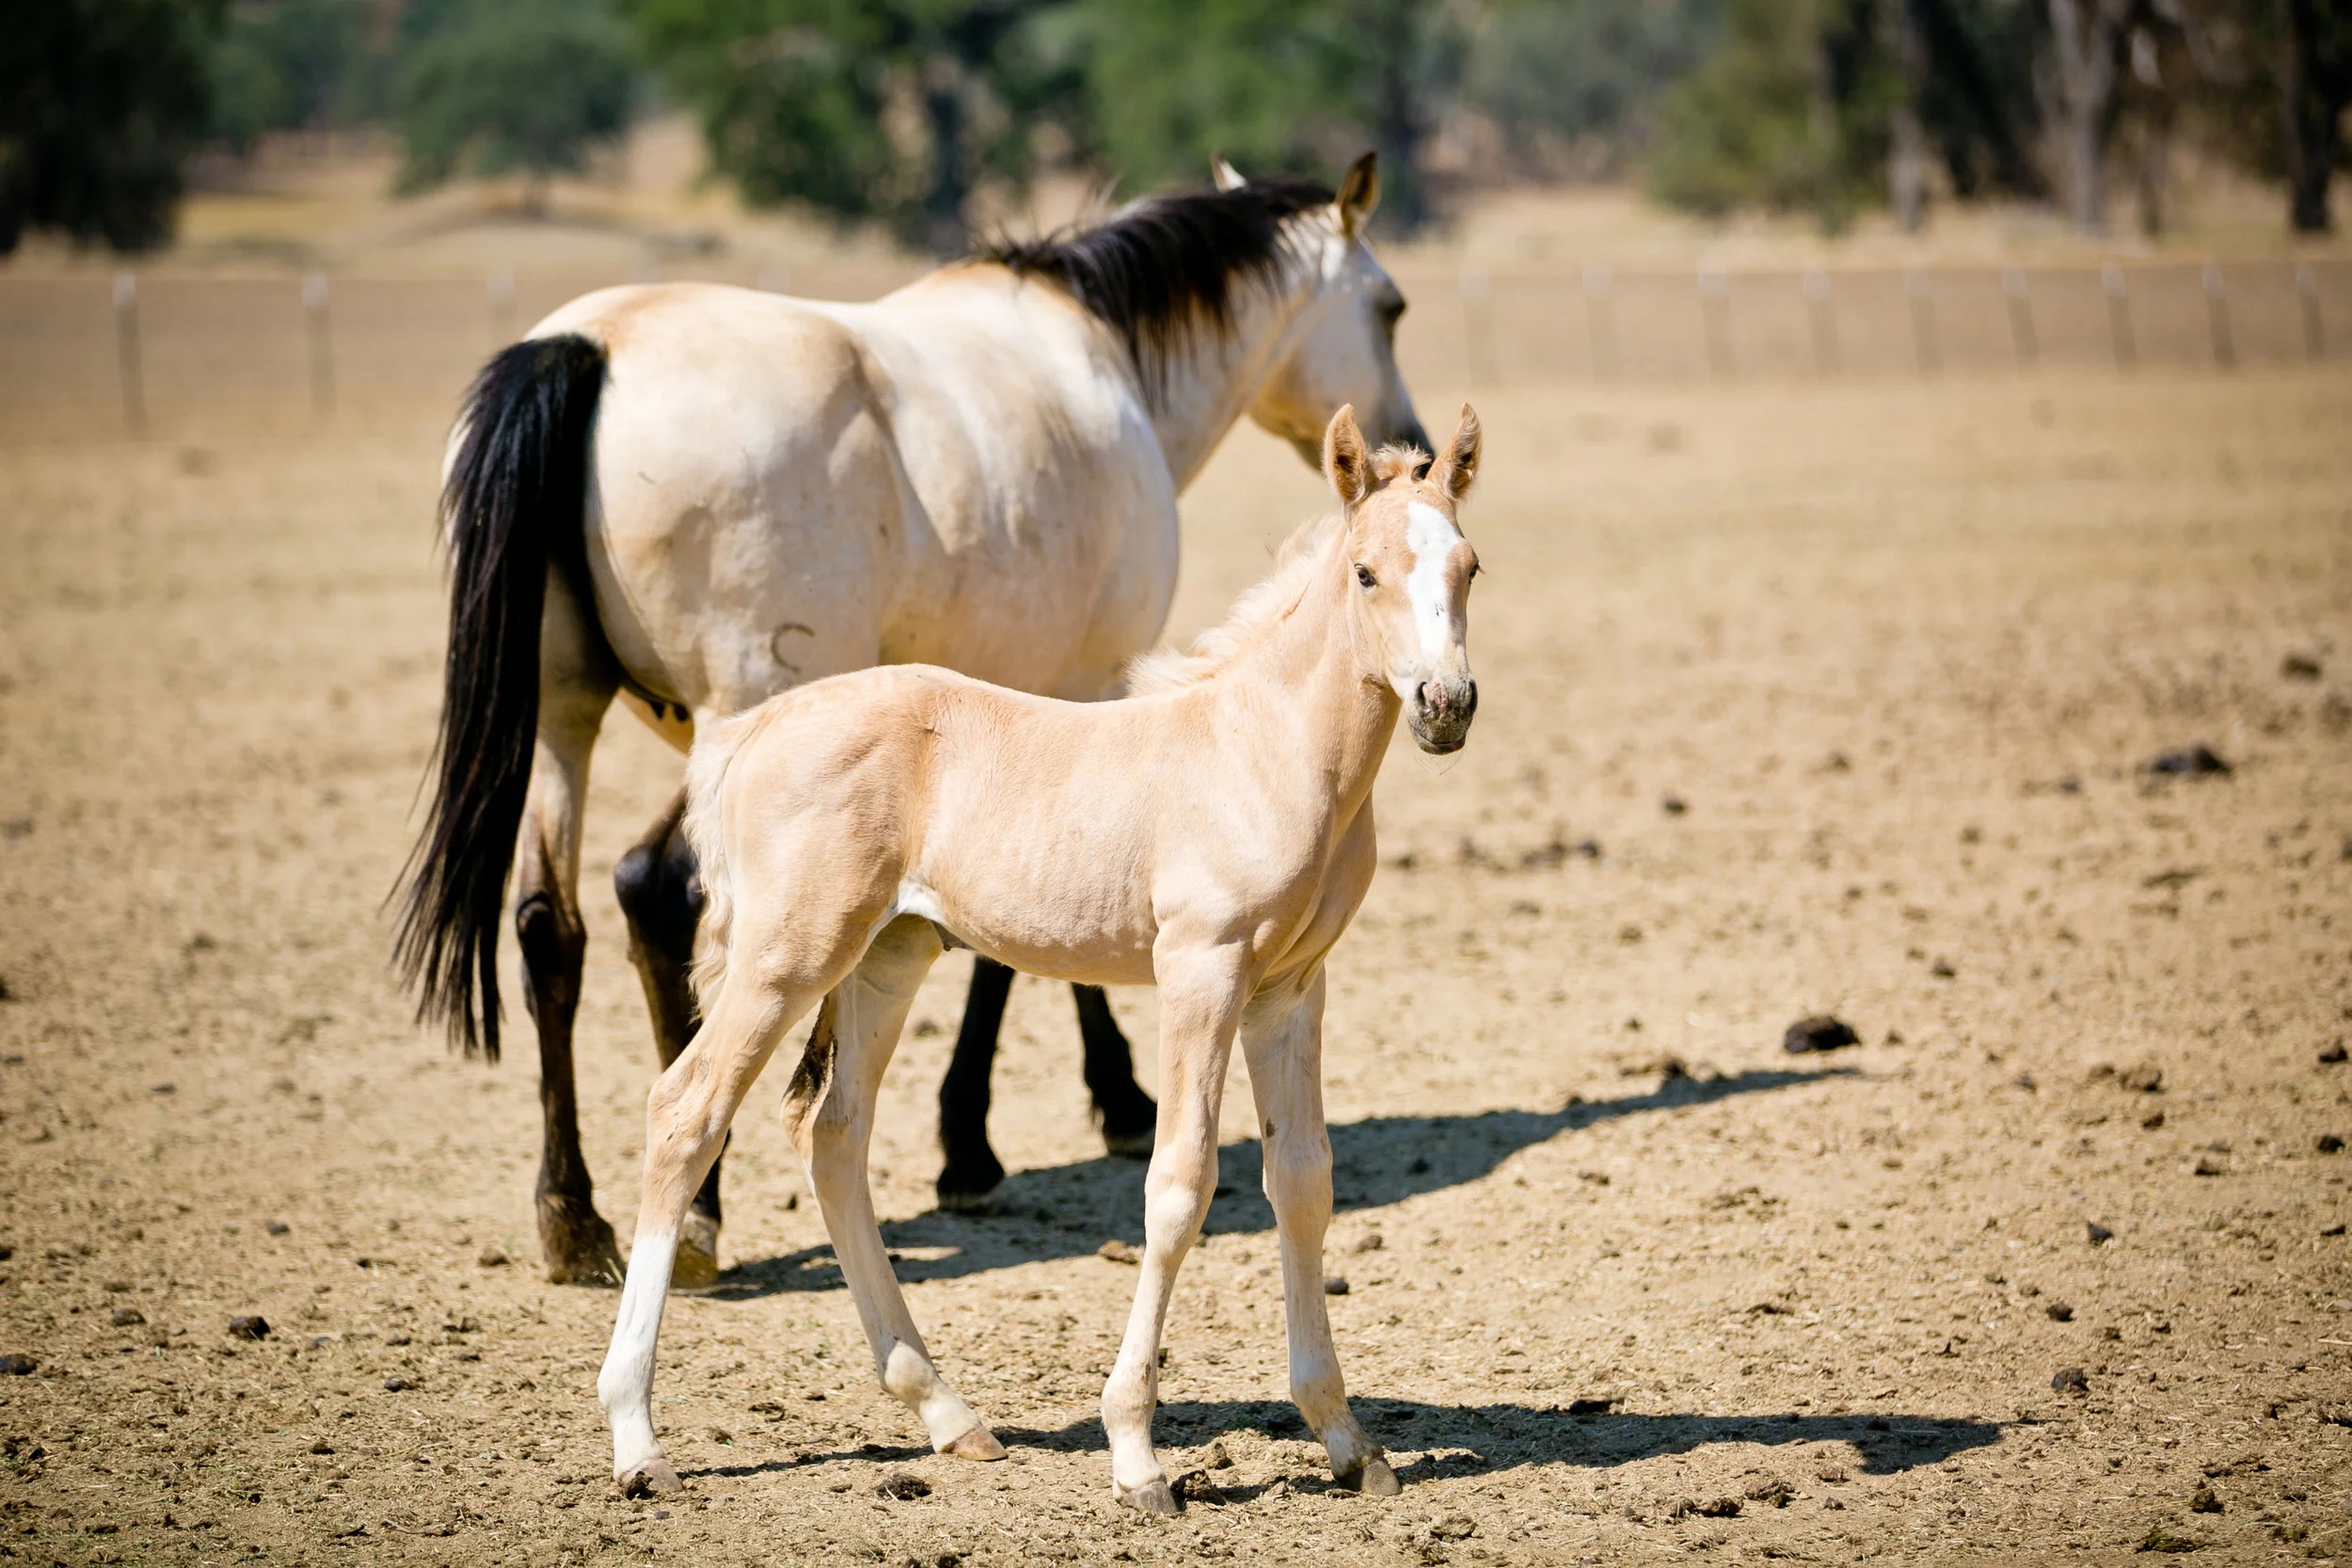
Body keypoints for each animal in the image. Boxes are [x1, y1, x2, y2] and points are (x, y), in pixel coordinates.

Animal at [391, 155, 1431, 1287]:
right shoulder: (1086, 686)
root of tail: (587, 343)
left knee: (553, 921)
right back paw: (697, 1206)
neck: (1096, 351)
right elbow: (1013, 944)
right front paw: (1023, 1126)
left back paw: (573, 1217)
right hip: (737, 706)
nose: (1415, 448)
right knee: (661, 893)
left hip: (566, 718)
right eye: (1390, 306)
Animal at [596, 403, 1483, 1511]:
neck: (1264, 748)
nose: (1445, 704)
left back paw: (947, 1413)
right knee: (686, 1112)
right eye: (1365, 572)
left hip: (886, 958)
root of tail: (759, 726)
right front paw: (1138, 1454)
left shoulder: (1289, 988)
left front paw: (1348, 1441)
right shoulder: (1203, 971)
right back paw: (637, 1437)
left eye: (1470, 565)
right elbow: (1178, 1185)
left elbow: (1305, 1181)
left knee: (835, 1137)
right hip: (785, 958)